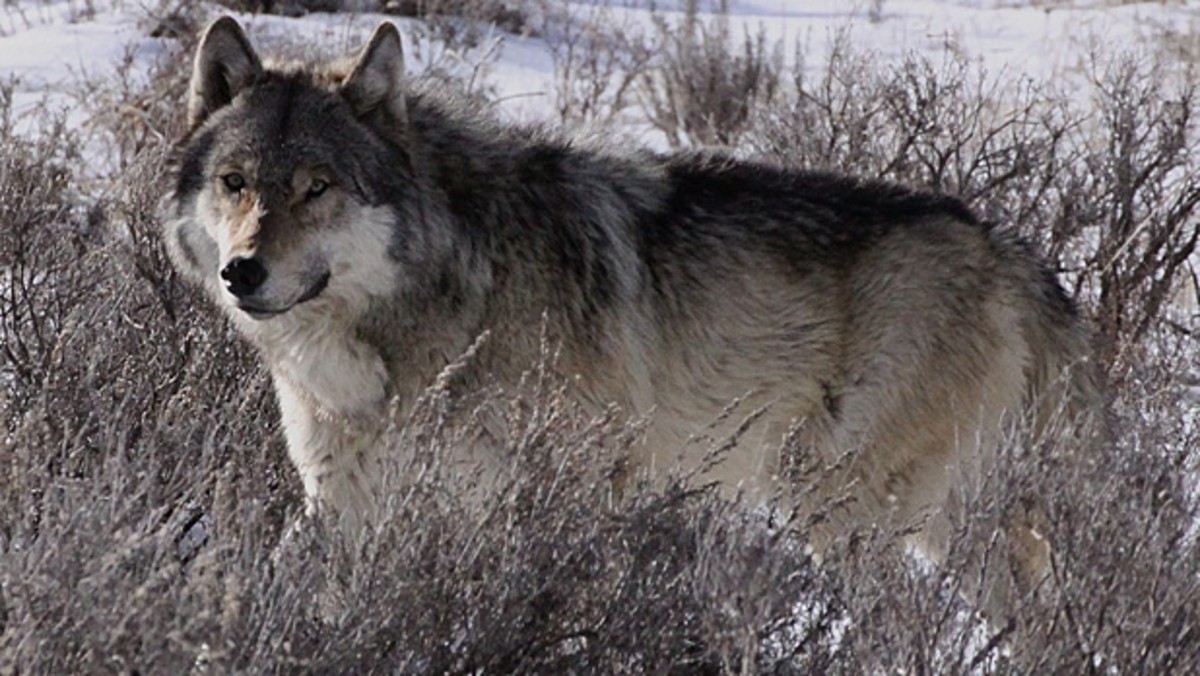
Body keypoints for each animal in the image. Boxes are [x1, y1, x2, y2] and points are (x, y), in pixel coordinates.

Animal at [166, 17, 1098, 605]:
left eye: (317, 188)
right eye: (236, 182)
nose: (243, 271)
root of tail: (1008, 248)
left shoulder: (569, 494)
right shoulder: (345, 507)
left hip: (847, 509)